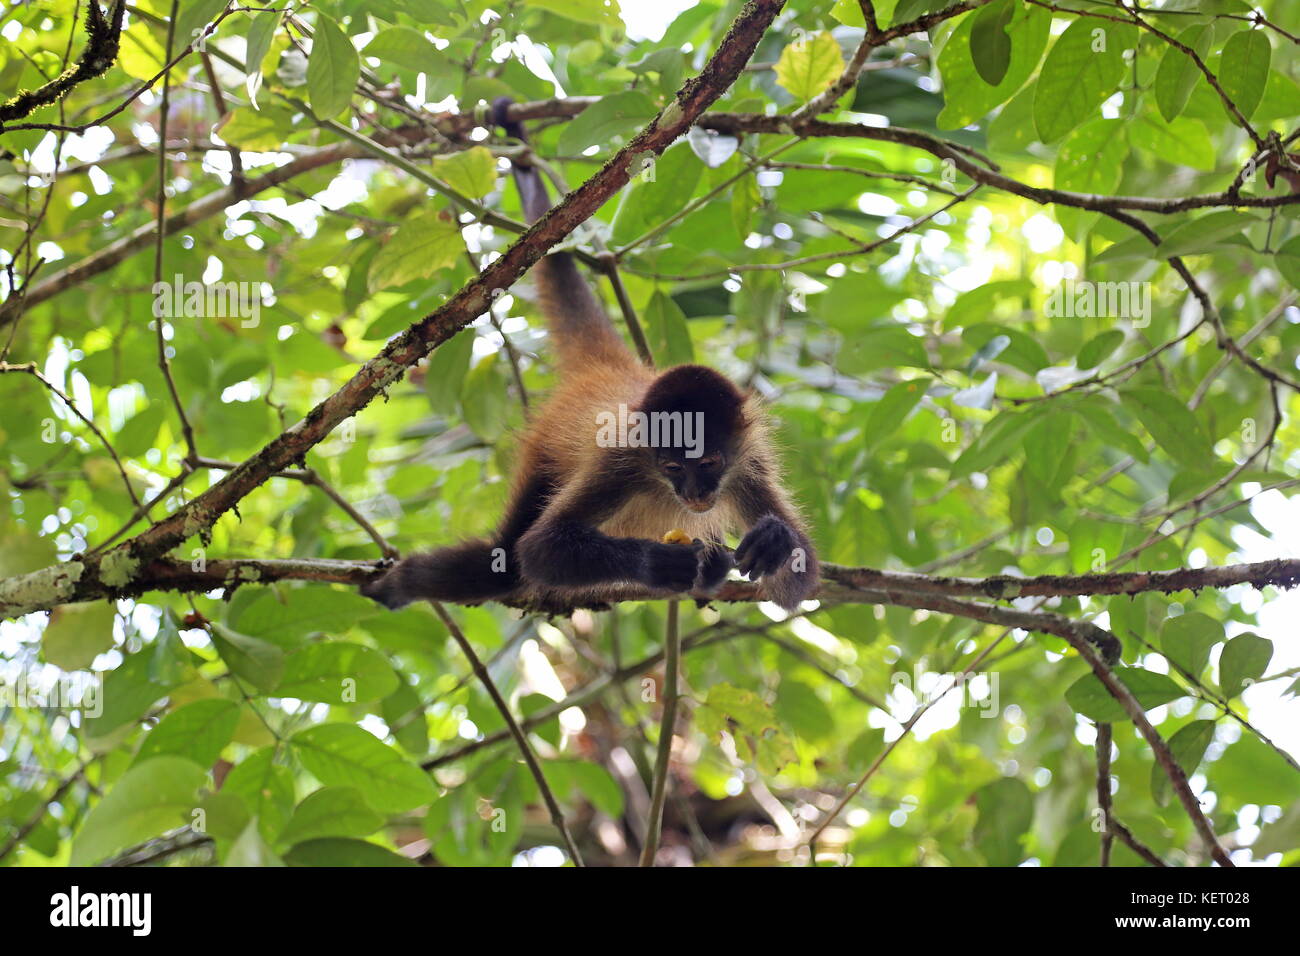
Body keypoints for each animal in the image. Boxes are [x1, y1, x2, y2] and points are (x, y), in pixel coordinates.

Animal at [360, 100, 819, 613]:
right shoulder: (619, 461)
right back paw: (397, 587)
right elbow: (537, 551)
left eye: (710, 463)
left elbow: (799, 580)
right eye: (672, 468)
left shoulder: (749, 461)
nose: (695, 494)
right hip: (543, 451)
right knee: (500, 563)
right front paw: (655, 565)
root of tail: (612, 371)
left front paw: (777, 541)